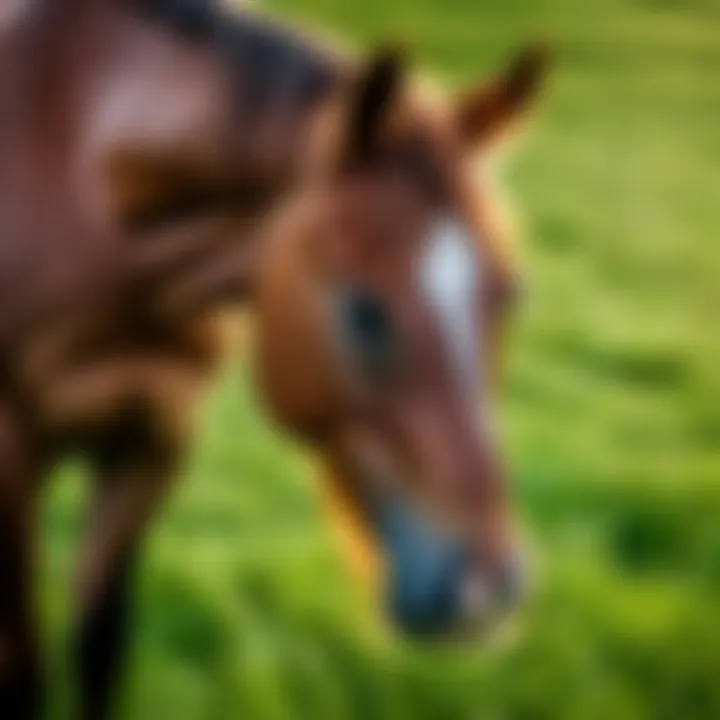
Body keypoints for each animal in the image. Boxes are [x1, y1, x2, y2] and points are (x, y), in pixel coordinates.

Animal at [0, 0, 544, 716]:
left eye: (510, 295)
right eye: (363, 308)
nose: (486, 595)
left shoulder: (152, 437)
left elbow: (99, 646)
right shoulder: (12, 452)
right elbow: (24, 668)